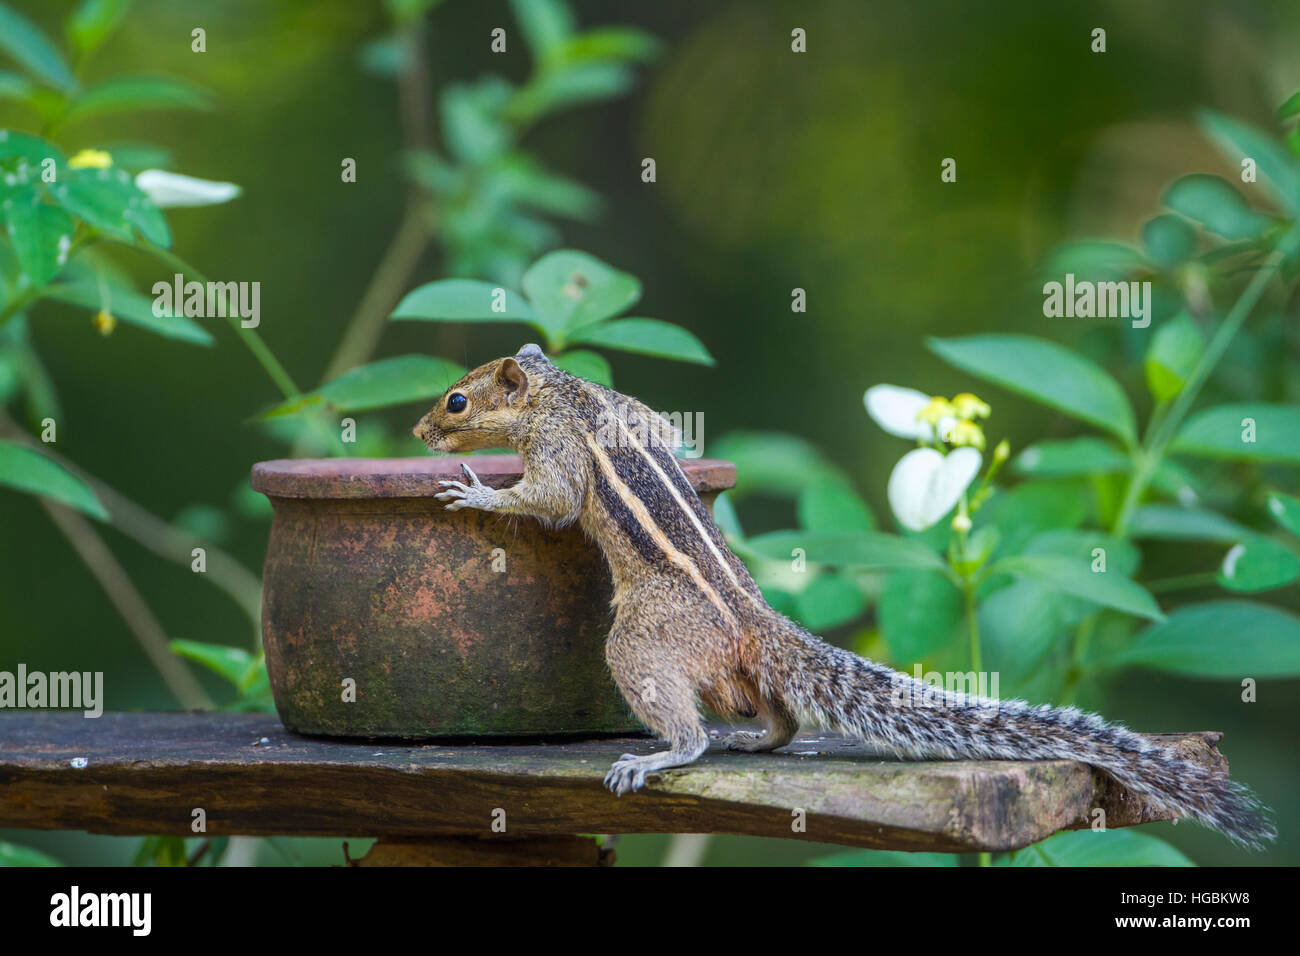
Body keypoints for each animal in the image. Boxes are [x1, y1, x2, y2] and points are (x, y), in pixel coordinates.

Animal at [414, 344, 1275, 848]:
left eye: (457, 400)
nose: (421, 433)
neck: (563, 391)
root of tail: (757, 619)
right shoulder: (628, 409)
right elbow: (659, 424)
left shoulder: (562, 450)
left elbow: (554, 500)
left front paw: (476, 492)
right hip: (730, 674)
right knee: (782, 718)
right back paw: (750, 741)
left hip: (643, 642)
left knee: (690, 728)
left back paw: (662, 755)